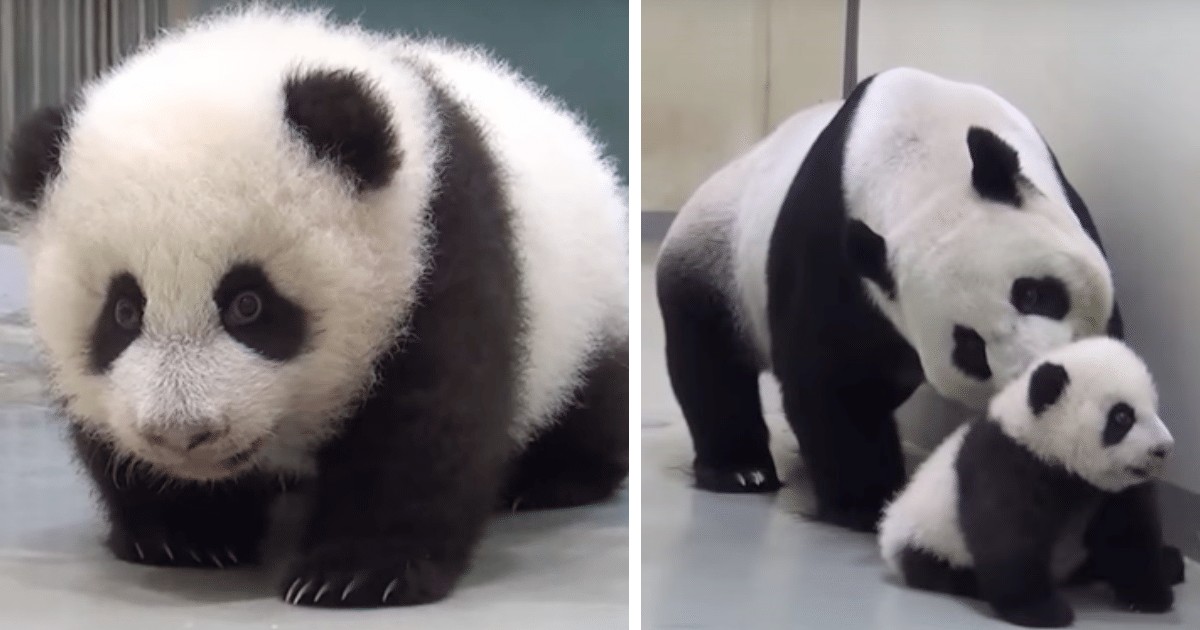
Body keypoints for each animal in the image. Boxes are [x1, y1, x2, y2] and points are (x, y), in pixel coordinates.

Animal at [1, 7, 628, 608]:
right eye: (124, 312)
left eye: (248, 304)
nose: (183, 435)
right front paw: (188, 536)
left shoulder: (438, 243)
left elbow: (427, 415)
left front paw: (356, 575)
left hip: (589, 304)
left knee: (592, 393)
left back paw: (554, 480)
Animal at [655, 67, 1125, 531]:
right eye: (969, 346)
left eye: (1031, 293)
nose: (1034, 372)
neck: (923, 175)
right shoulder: (835, 256)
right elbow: (835, 380)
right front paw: (870, 503)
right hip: (715, 263)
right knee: (709, 365)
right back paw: (741, 470)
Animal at [878, 337, 1178, 628]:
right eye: (1122, 417)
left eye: (1154, 408)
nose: (1163, 449)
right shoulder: (1007, 465)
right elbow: (1008, 536)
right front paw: (1041, 611)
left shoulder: (1111, 492)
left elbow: (1128, 534)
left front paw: (1149, 596)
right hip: (924, 538)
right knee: (932, 568)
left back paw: (1171, 562)